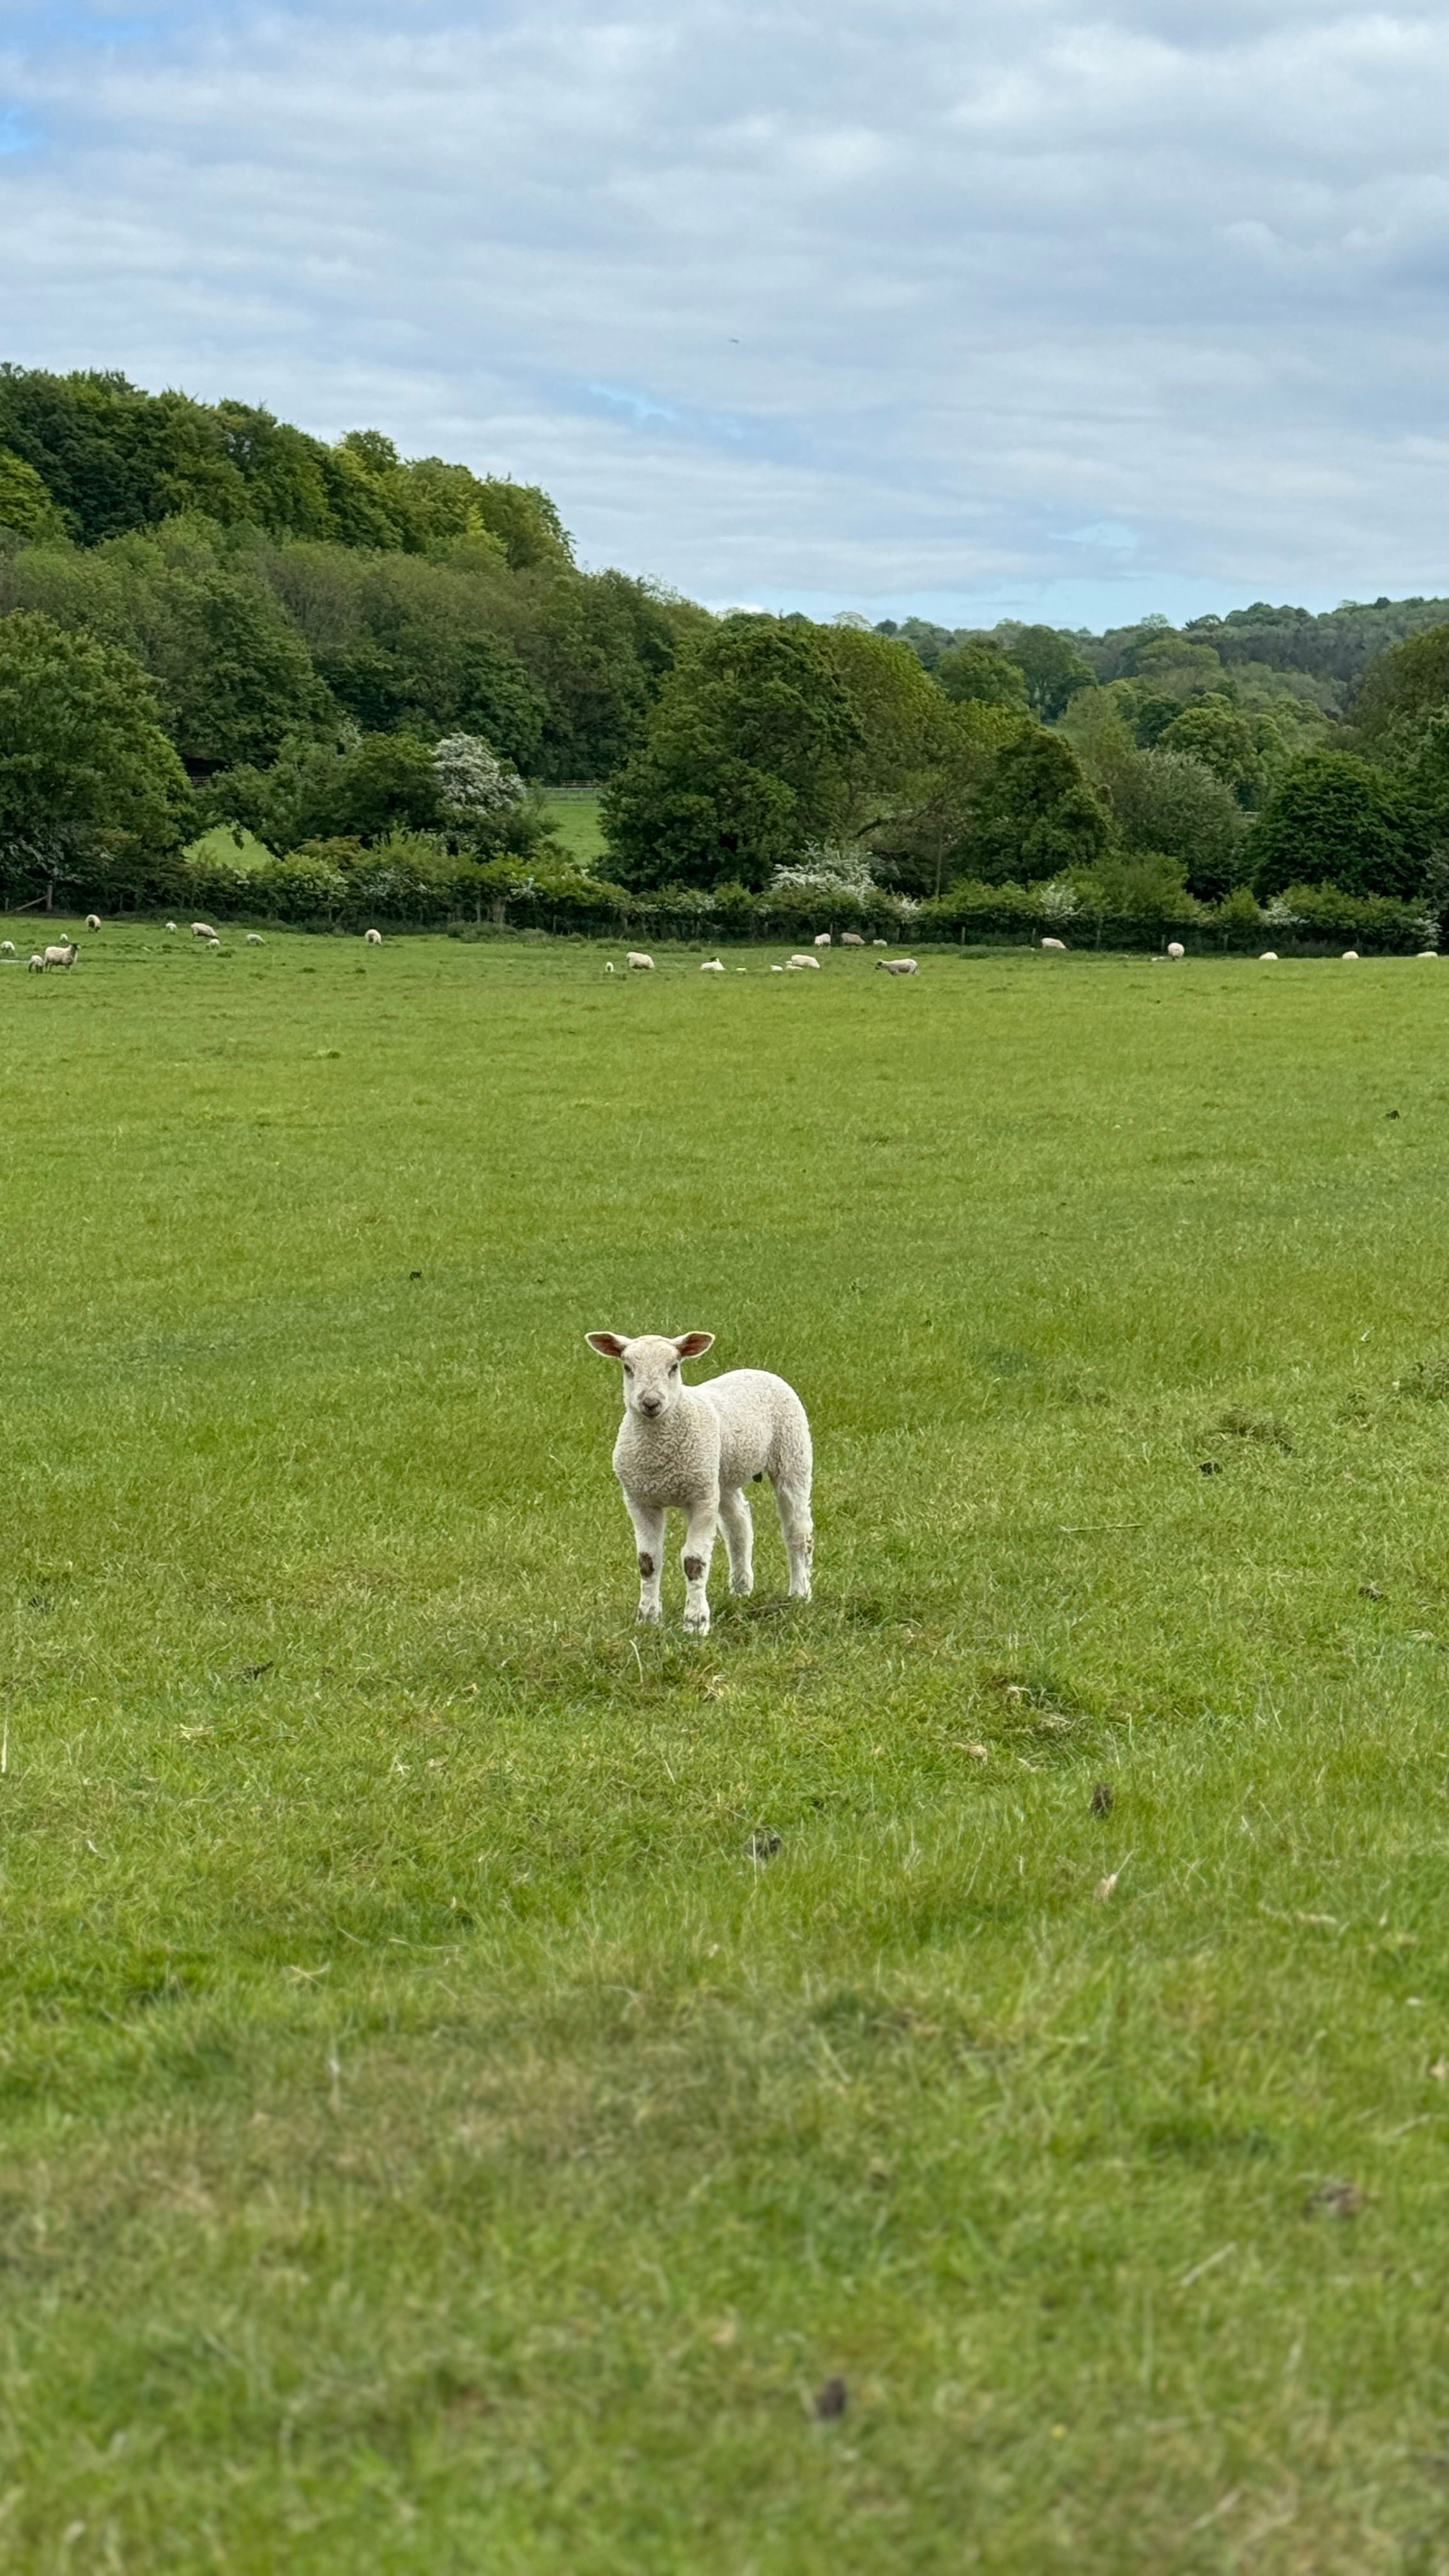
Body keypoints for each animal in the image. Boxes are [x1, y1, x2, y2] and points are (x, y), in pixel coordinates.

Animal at [586, 1329, 813, 1636]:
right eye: (627, 1368)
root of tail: (756, 1370)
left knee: (798, 1531)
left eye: (674, 1367)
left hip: (792, 1454)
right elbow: (648, 1562)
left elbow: (694, 1562)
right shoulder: (640, 1500)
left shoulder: (701, 1500)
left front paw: (695, 1623)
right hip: (720, 1475)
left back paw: (800, 1592)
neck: (659, 1452)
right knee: (739, 1526)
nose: (651, 1403)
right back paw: (741, 1589)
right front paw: (647, 1619)